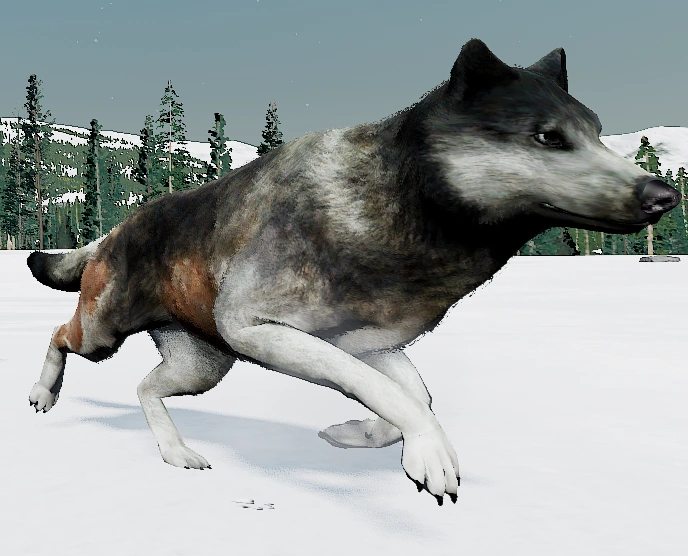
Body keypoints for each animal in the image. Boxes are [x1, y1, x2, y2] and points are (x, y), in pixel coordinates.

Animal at [27, 39, 680, 506]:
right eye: (548, 137)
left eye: (597, 133)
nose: (664, 195)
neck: (398, 207)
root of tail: (115, 231)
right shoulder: (264, 331)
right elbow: (387, 393)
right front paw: (430, 455)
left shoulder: (371, 344)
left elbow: (413, 395)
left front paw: (359, 436)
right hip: (105, 333)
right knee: (60, 335)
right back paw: (42, 394)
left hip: (202, 368)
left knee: (144, 388)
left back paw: (175, 453)